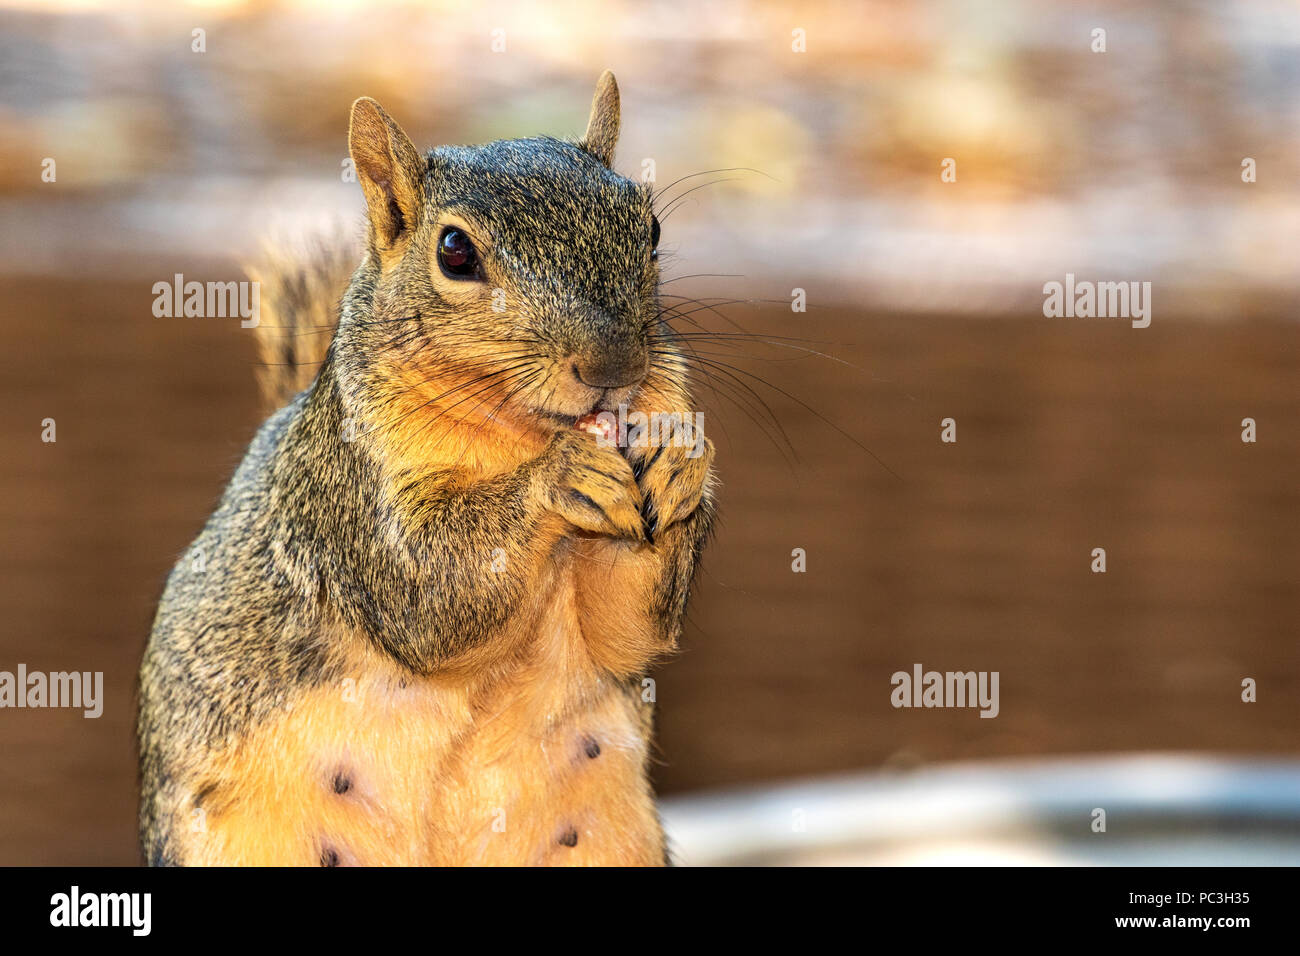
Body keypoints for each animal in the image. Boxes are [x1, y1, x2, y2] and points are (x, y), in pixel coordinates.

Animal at [137, 72, 717, 866]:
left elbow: (627, 629)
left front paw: (681, 469)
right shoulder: (348, 486)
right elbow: (427, 592)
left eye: (650, 229)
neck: (517, 432)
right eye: (455, 252)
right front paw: (562, 476)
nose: (614, 368)